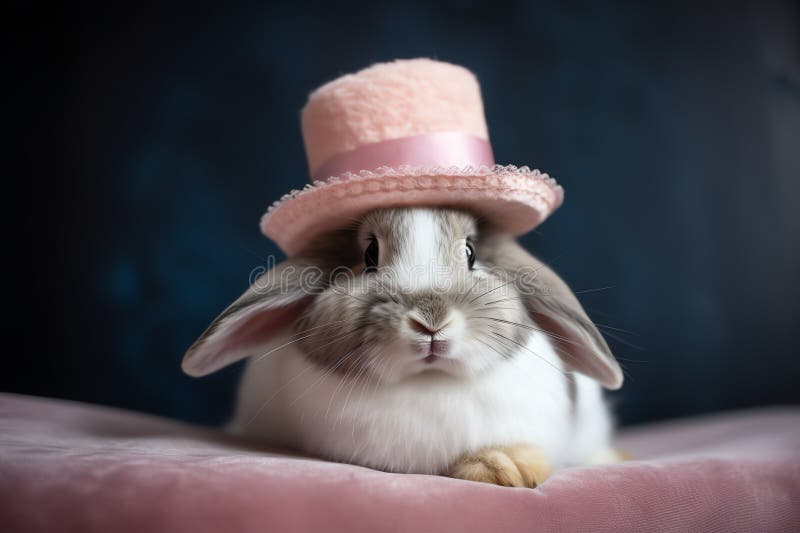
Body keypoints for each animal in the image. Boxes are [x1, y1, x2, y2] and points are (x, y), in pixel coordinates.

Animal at [181, 207, 624, 488]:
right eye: (369, 254)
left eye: (471, 252)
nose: (431, 321)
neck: (431, 382)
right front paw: (499, 468)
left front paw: (507, 468)